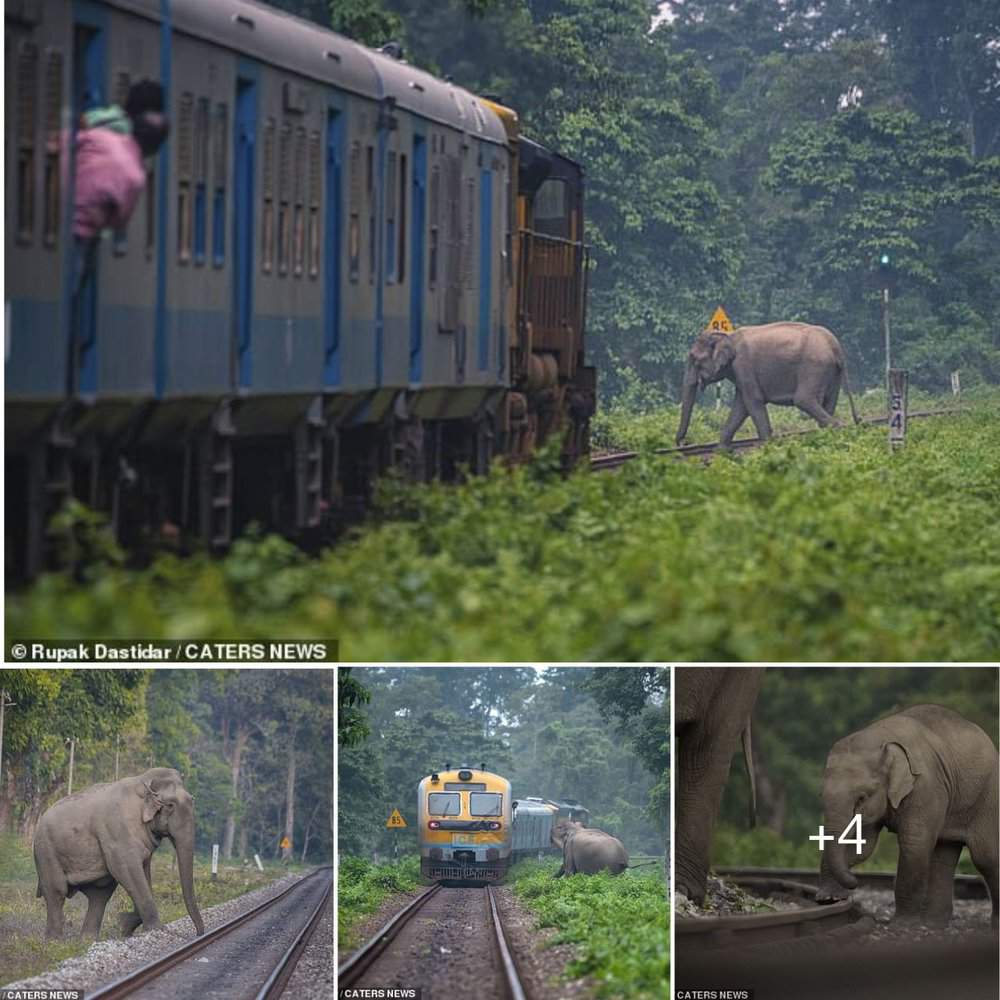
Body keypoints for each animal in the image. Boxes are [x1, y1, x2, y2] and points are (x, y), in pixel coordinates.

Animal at [33, 767, 205, 940]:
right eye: (170, 805)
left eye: (192, 800)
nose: (198, 934)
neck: (142, 781)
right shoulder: (117, 832)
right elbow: (126, 869)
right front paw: (154, 929)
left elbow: (143, 872)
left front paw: (124, 925)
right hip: (46, 850)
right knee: (57, 891)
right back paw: (55, 941)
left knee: (100, 894)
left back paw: (87, 940)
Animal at [674, 322, 860, 447]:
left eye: (694, 359)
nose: (683, 442)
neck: (727, 336)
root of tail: (835, 346)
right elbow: (741, 407)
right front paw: (722, 453)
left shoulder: (743, 366)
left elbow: (752, 402)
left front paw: (767, 447)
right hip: (832, 374)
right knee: (829, 403)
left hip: (814, 368)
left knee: (804, 400)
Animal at [815, 705, 998, 928]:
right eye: (821, 795)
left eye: (862, 797)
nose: (855, 883)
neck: (880, 739)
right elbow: (865, 845)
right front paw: (828, 899)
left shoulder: (926, 786)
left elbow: (914, 843)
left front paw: (901, 924)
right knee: (943, 856)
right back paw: (932, 925)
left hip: (987, 796)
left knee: (985, 856)